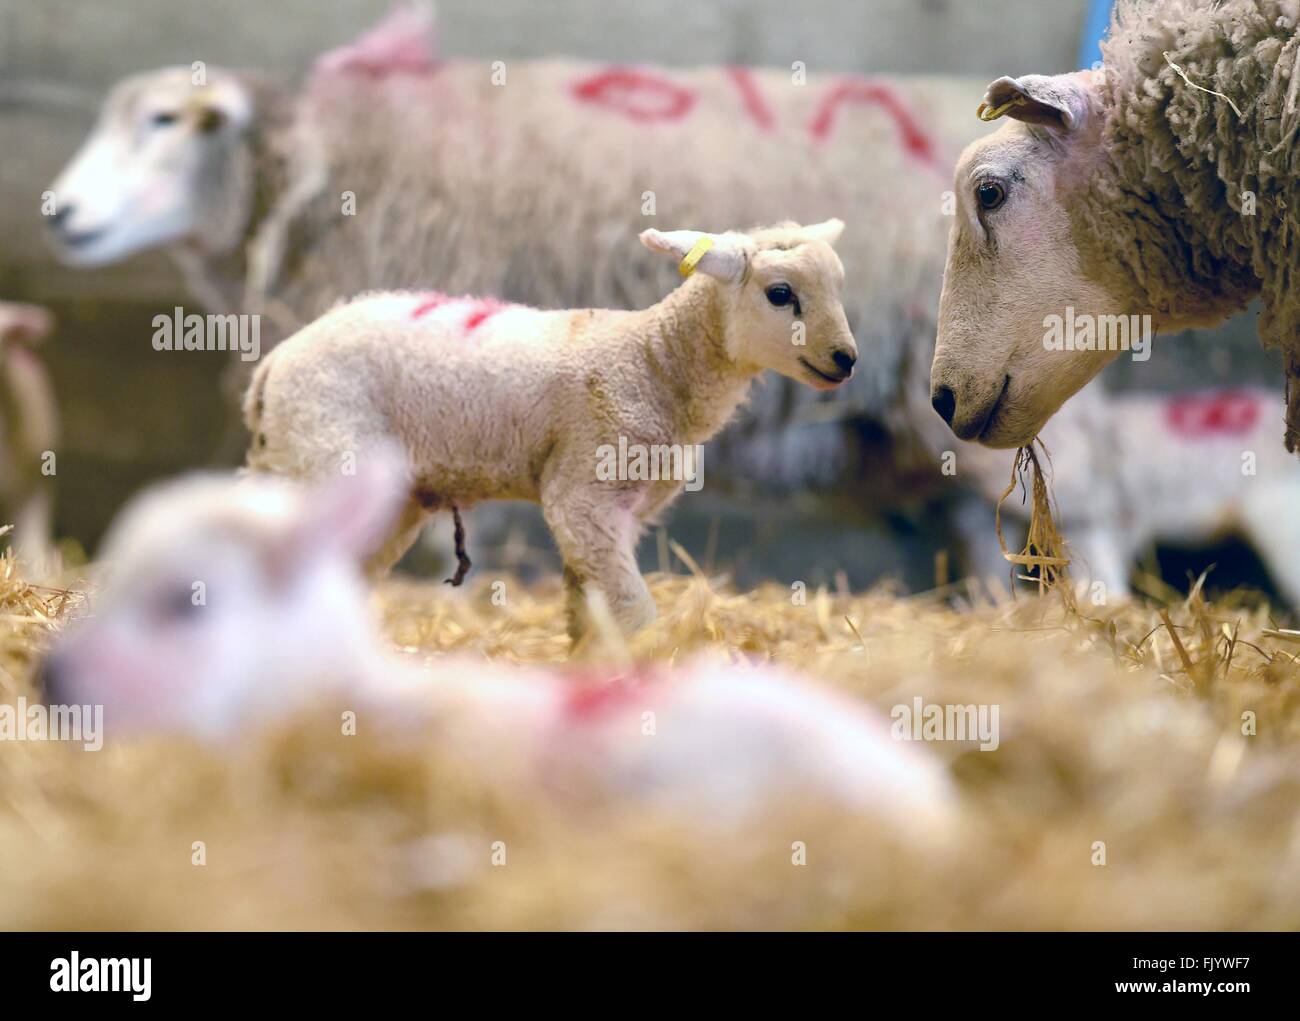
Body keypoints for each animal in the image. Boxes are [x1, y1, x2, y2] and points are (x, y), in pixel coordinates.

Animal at [244, 220, 857, 638]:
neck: (652, 359)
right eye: (780, 294)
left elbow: (590, 614)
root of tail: (274, 364)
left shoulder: (620, 513)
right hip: (327, 455)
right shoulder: (584, 493)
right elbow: (635, 611)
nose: (846, 359)